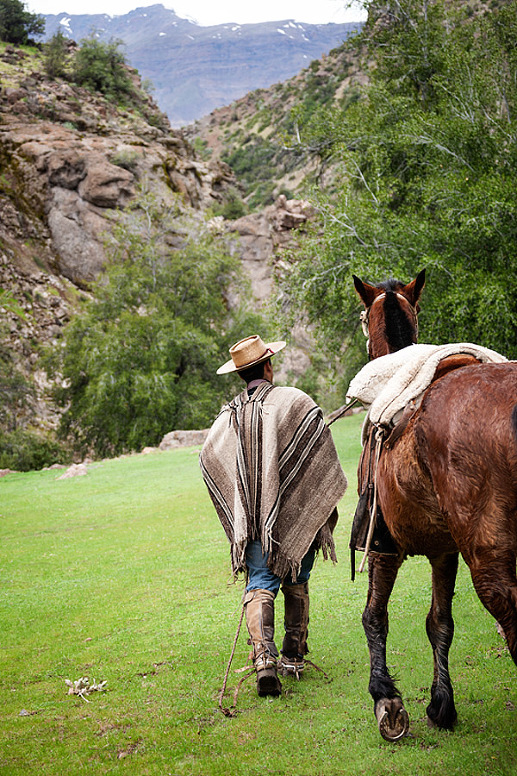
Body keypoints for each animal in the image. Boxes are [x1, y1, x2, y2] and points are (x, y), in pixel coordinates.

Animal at [351, 268, 517, 741]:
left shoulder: (384, 545)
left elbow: (375, 615)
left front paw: (385, 698)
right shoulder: (445, 549)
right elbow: (439, 621)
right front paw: (442, 702)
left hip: (490, 561)